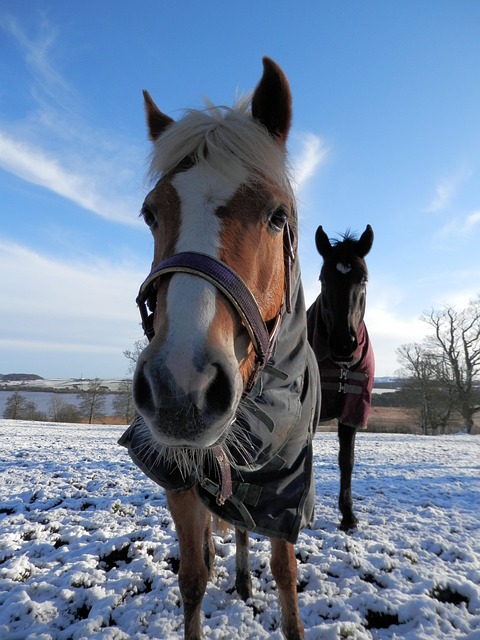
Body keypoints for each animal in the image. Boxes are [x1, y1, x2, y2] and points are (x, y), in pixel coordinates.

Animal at [119, 57, 320, 640]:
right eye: (151, 213)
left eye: (277, 215)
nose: (180, 387)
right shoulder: (178, 475)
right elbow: (192, 577)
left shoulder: (285, 491)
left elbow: (285, 574)